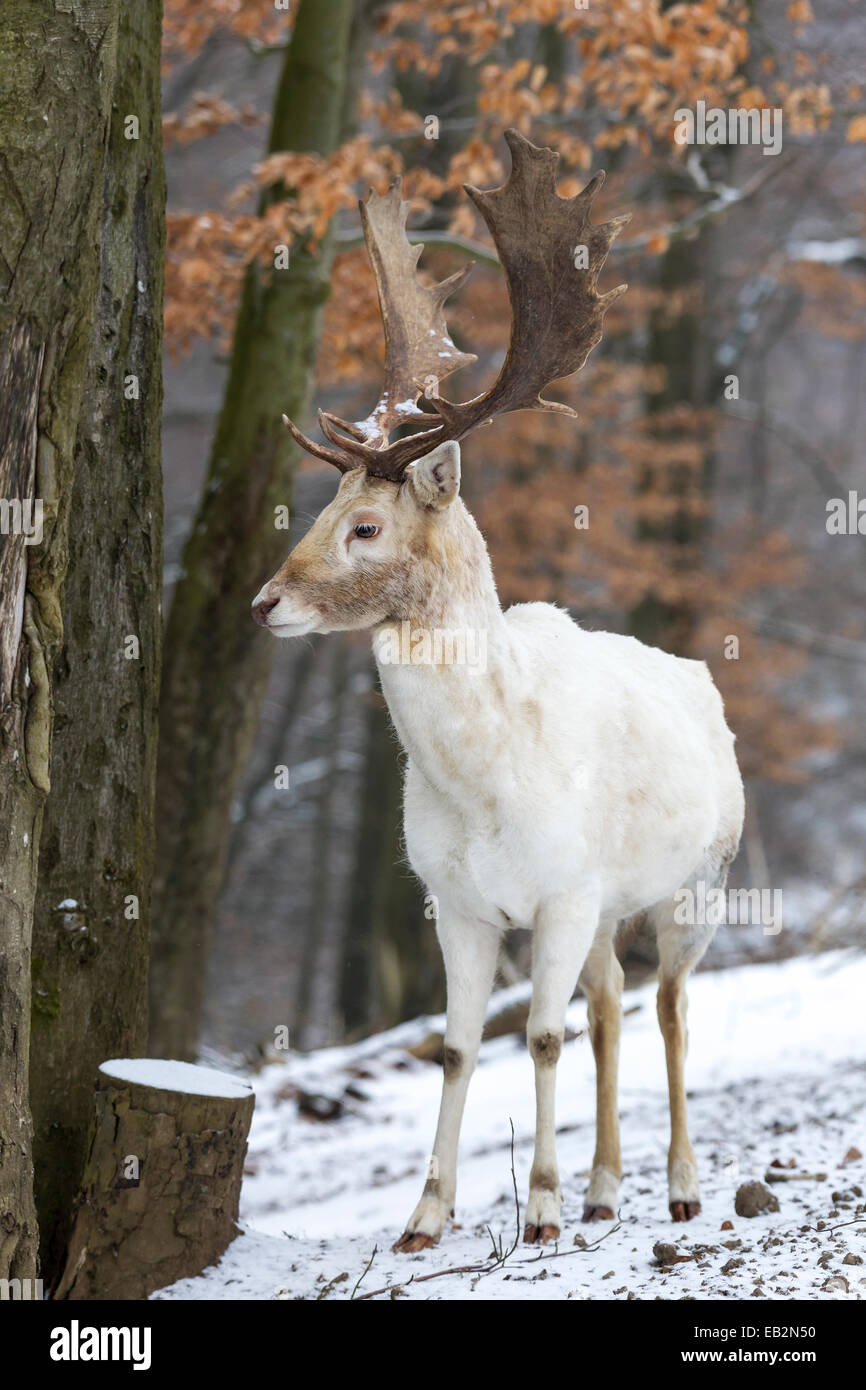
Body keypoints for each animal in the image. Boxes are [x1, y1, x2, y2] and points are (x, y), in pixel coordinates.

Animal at [252, 131, 745, 1251]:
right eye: (325, 505)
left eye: (366, 526)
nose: (263, 602)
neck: (485, 787)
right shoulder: (461, 905)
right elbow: (458, 1046)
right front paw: (425, 1216)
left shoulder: (561, 895)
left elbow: (543, 1040)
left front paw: (542, 1209)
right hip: (611, 907)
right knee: (610, 1006)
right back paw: (609, 1186)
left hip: (698, 880)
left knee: (667, 1009)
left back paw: (676, 1184)